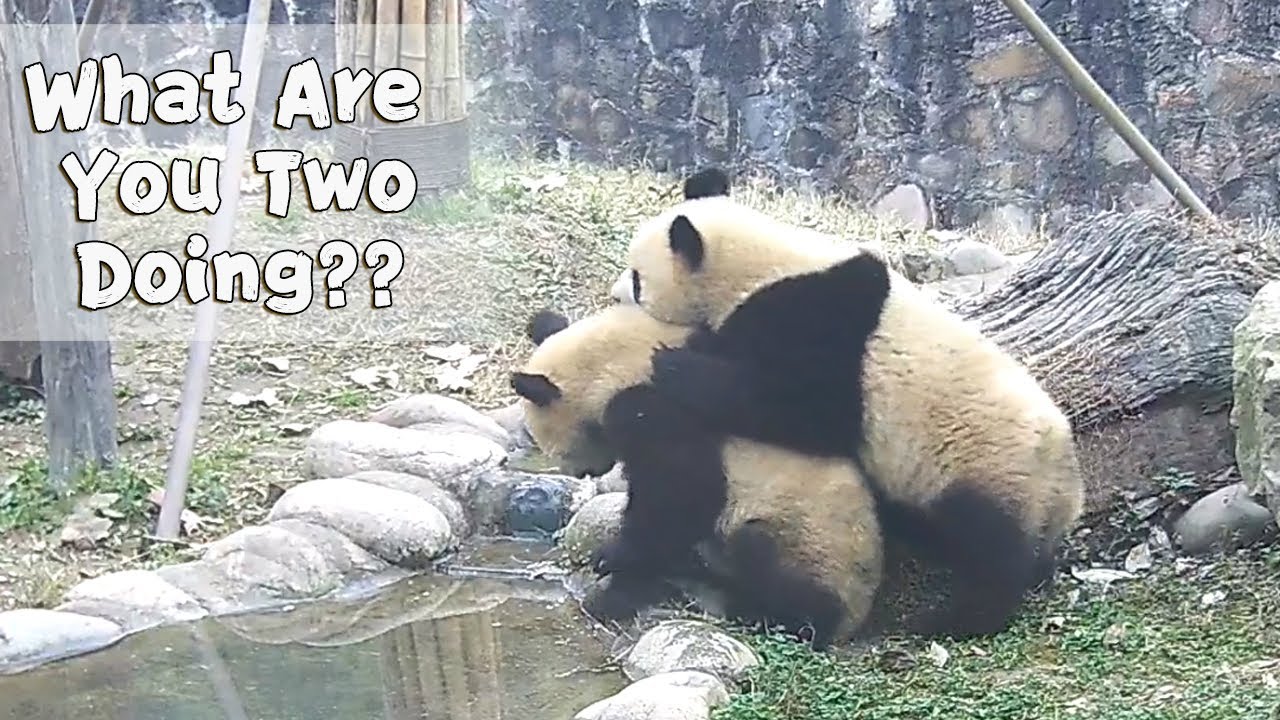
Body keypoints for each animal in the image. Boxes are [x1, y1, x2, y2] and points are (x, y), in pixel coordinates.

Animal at [510, 305, 885, 650]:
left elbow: (682, 497)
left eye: (552, 446)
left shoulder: (655, 411)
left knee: (765, 557)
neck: (617, 360)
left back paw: (757, 610)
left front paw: (611, 558)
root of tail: (855, 618)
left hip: (812, 546)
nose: (583, 473)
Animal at [608, 167, 1085, 639]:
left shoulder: (816, 324)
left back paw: (955, 619)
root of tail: (1065, 477)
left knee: (991, 551)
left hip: (987, 466)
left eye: (637, 278)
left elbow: (803, 410)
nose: (614, 296)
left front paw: (676, 365)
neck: (761, 266)